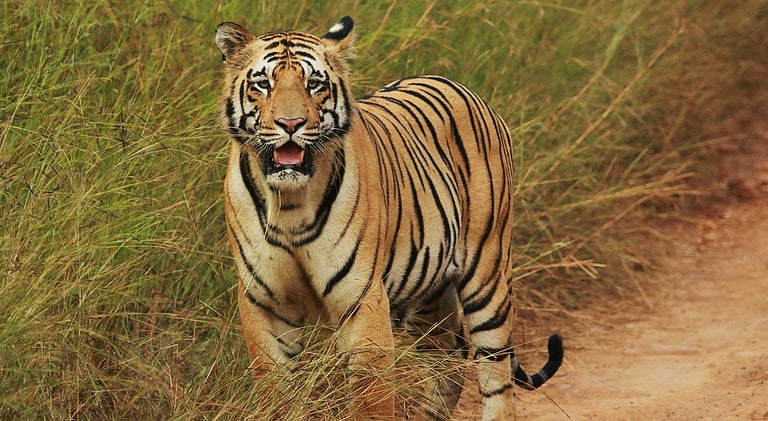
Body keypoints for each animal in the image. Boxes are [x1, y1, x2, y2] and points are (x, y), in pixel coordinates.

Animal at [215, 16, 563, 420]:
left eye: (314, 84)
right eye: (263, 84)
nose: (291, 123)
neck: (290, 204)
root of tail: (459, 86)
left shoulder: (362, 298)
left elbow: (370, 395)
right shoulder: (264, 302)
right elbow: (276, 392)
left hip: (487, 271)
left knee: (496, 375)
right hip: (430, 294)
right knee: (449, 358)